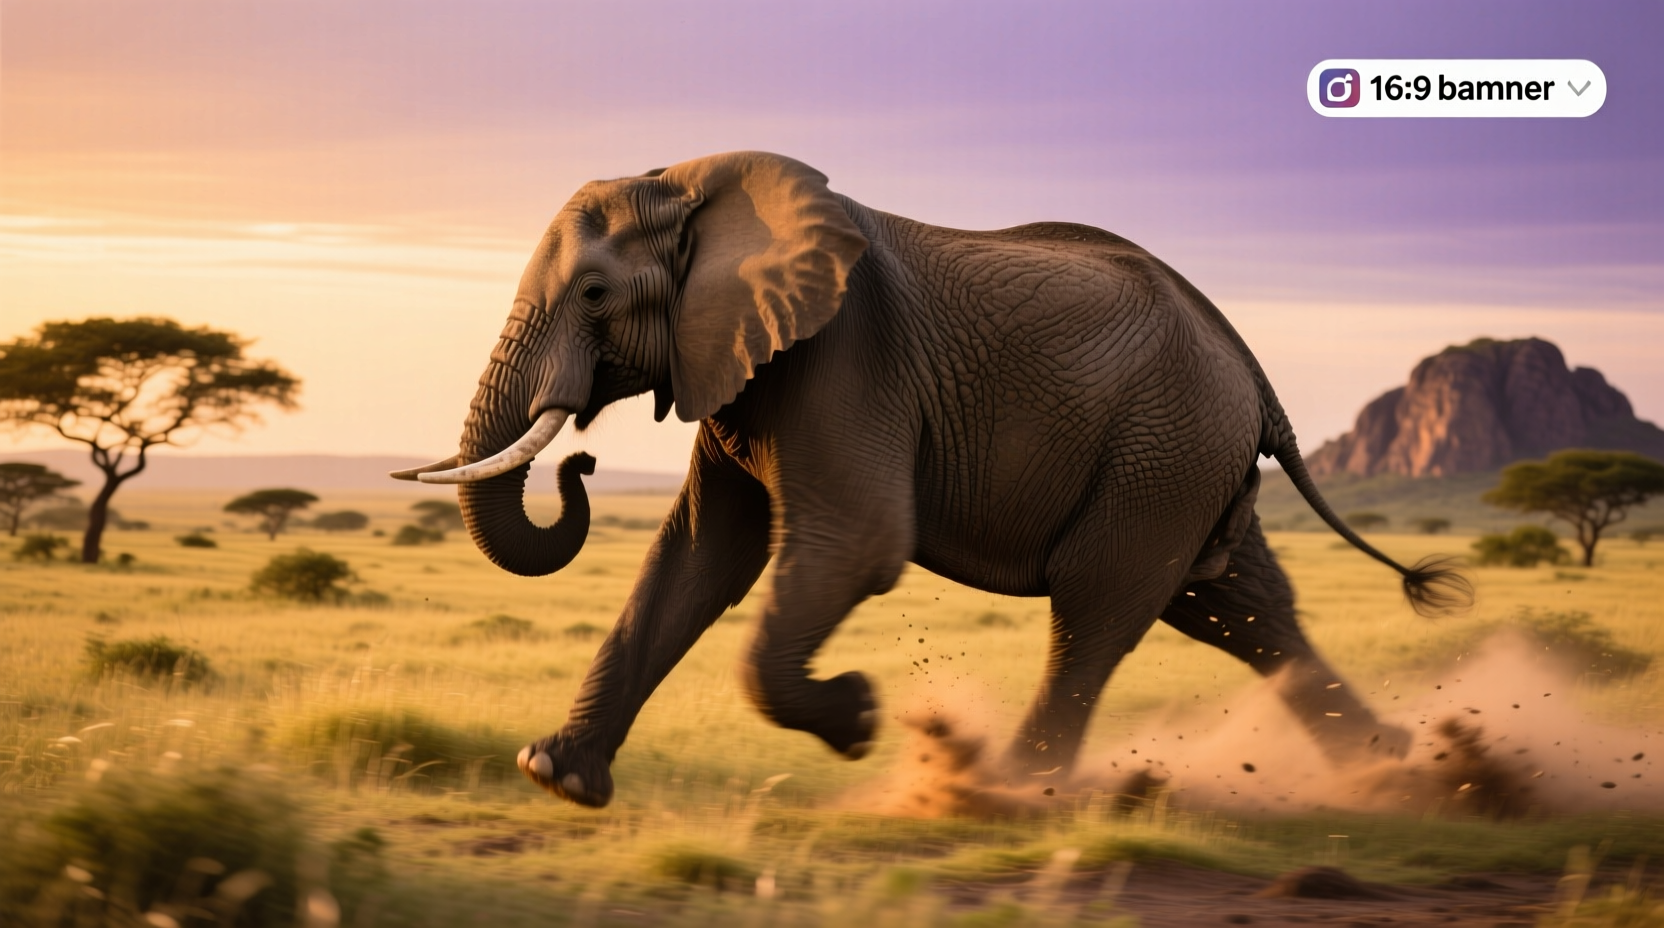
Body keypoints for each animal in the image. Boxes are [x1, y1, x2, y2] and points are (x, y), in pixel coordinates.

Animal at [393, 151, 1469, 808]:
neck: (699, 184)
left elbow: (857, 546)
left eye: (593, 294)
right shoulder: (742, 360)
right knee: (1236, 606)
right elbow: (699, 556)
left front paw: (864, 716)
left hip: (1165, 449)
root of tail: (1249, 364)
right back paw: (1398, 770)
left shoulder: (843, 356)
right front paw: (556, 779)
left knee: (1100, 608)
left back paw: (1002, 792)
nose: (578, 459)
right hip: (1187, 458)